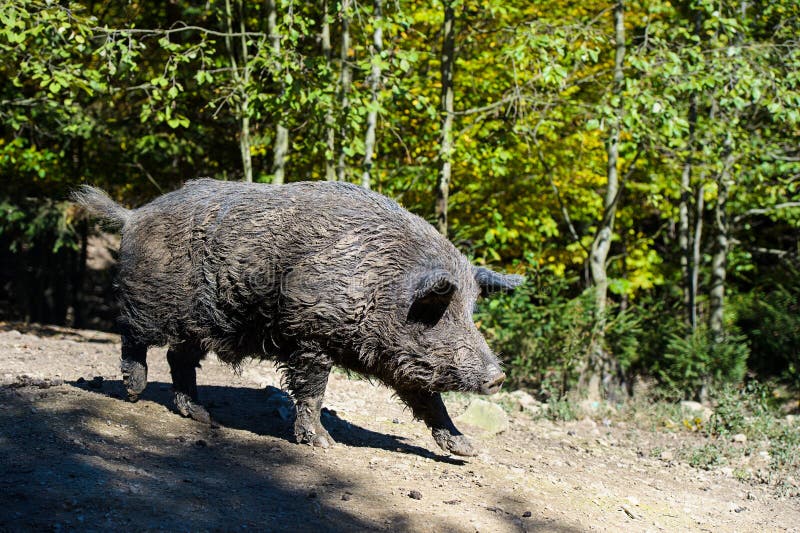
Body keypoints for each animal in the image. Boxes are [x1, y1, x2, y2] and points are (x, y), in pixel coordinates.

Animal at [73, 179, 522, 456]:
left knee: (178, 358)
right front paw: (324, 444)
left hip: (199, 324)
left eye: (470, 314)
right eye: (438, 314)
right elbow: (313, 391)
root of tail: (133, 215)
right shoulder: (311, 333)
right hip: (147, 300)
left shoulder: (401, 363)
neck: (379, 285)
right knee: (133, 337)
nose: (498, 376)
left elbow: (431, 403)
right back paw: (134, 393)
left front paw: (468, 451)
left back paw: (203, 417)